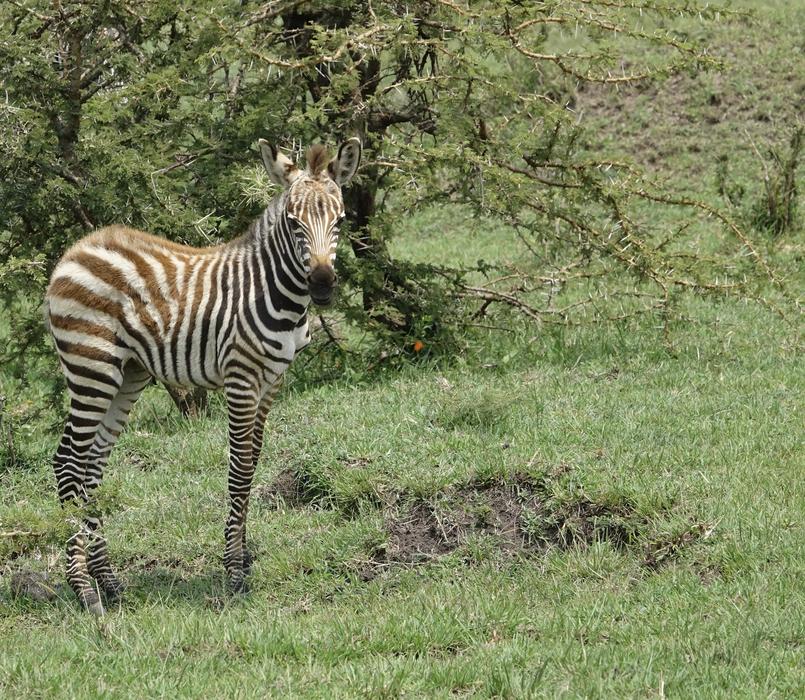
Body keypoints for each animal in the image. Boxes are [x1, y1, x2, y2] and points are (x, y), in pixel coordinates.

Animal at [45, 138, 362, 614]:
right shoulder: (240, 378)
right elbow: (240, 468)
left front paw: (244, 558)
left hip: (127, 374)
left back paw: (110, 583)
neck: (274, 292)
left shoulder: (272, 381)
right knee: (67, 462)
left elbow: (254, 459)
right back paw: (83, 590)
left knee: (91, 465)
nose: (322, 286)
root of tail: (76, 249)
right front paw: (234, 572)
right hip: (91, 367)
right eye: (293, 223)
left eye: (340, 220)